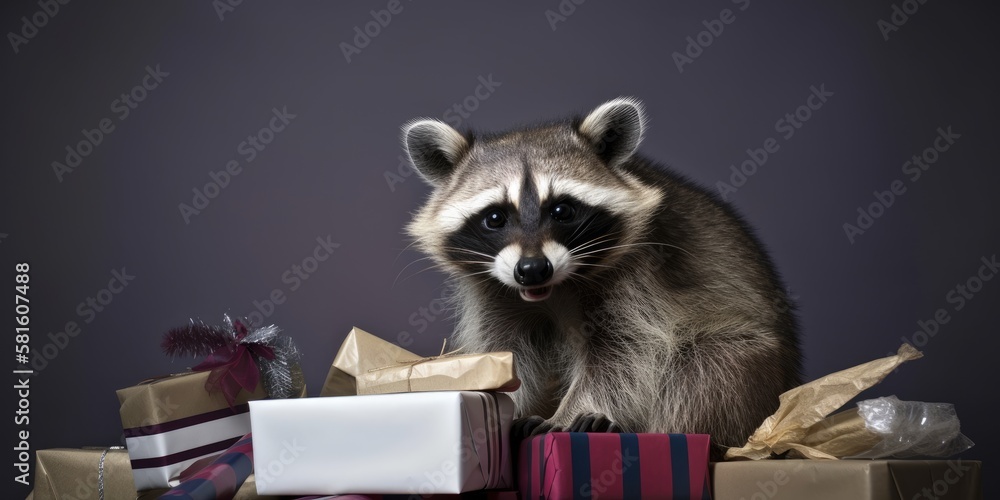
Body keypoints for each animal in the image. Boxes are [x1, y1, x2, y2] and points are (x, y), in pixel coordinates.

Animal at [402, 97, 801, 455]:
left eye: (562, 210)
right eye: (495, 217)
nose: (532, 269)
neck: (553, 289)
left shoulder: (638, 275)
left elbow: (623, 354)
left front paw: (569, 416)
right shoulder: (494, 291)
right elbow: (507, 352)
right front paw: (506, 404)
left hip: (751, 367)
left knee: (705, 371)